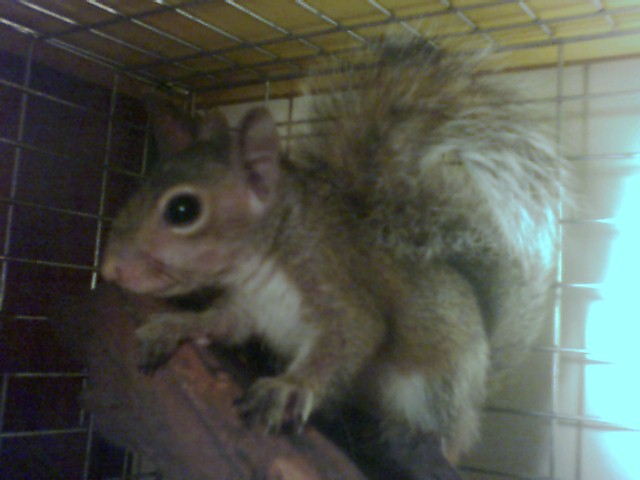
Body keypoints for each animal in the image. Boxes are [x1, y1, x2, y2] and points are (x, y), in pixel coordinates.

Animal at [100, 37, 567, 474]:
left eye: (183, 210)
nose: (108, 268)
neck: (263, 260)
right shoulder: (247, 309)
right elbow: (219, 322)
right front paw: (175, 325)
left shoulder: (334, 276)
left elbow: (350, 335)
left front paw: (290, 387)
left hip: (440, 386)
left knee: (442, 435)